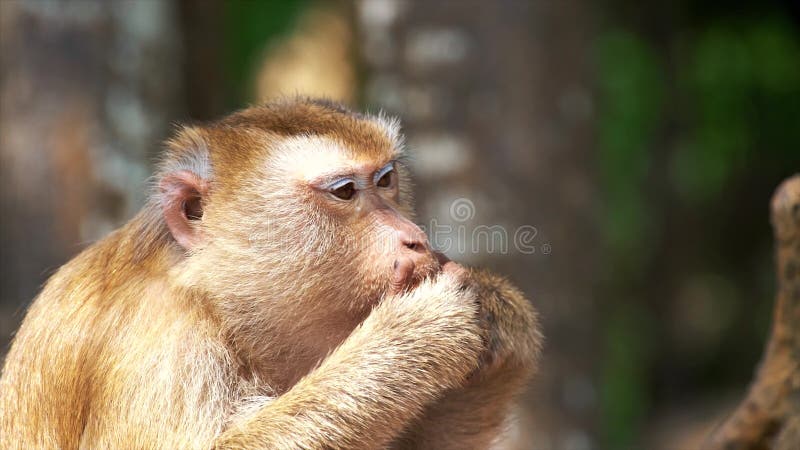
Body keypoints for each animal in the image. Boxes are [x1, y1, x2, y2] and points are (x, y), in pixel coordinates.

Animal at [0, 98, 542, 449]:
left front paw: (499, 313)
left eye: (386, 180)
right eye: (345, 191)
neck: (212, 297)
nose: (414, 238)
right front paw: (417, 334)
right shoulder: (162, 341)